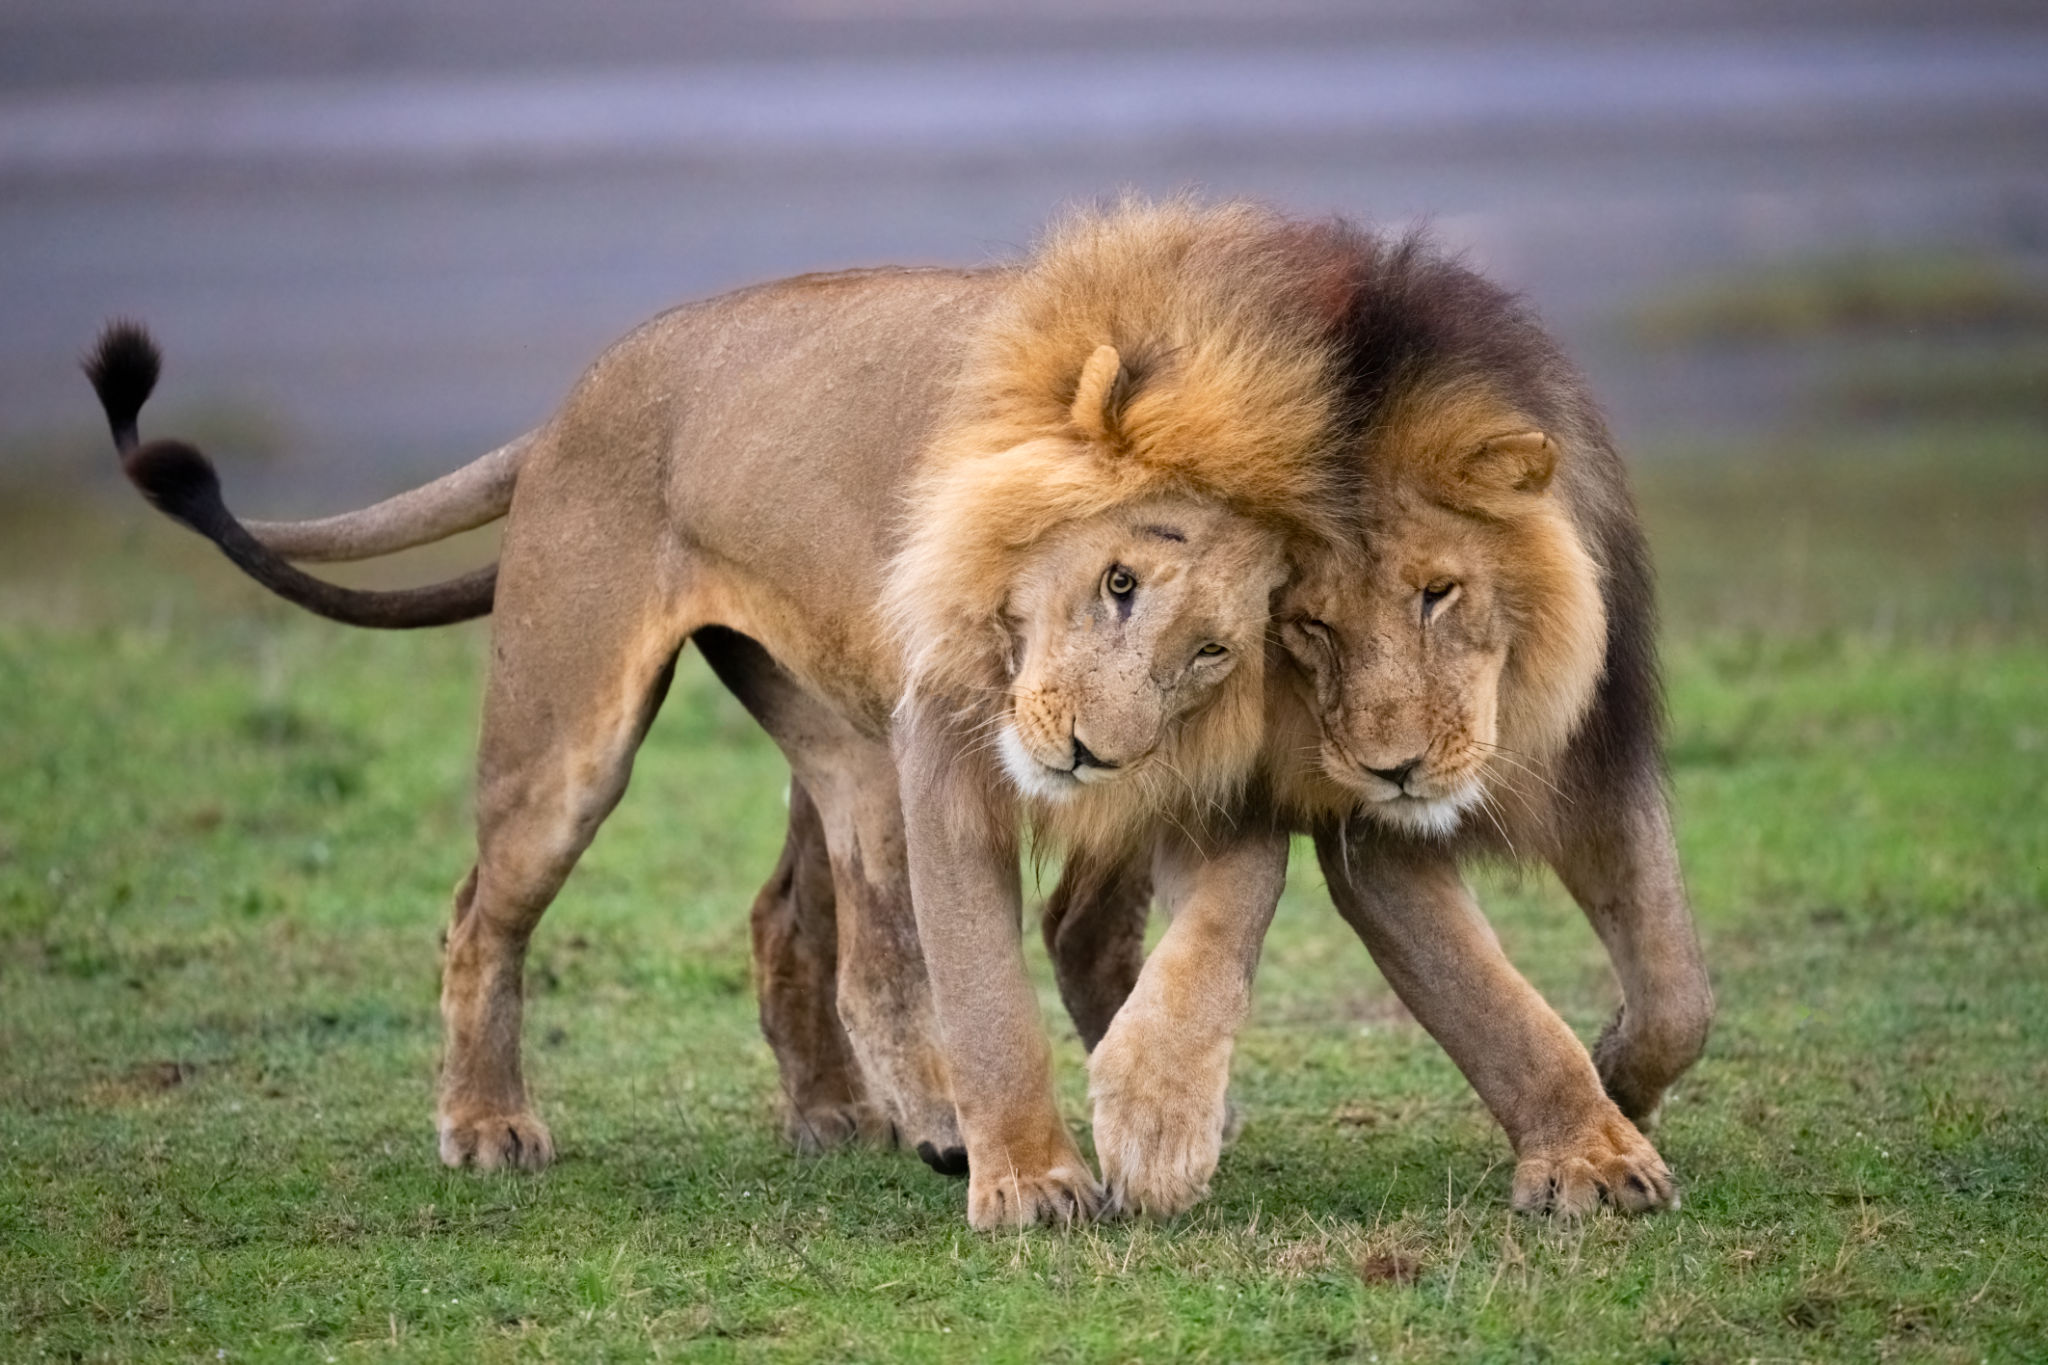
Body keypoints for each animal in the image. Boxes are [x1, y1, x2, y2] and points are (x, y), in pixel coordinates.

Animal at [85, 199, 1359, 1229]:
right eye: (1117, 583)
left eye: (1214, 649)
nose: (1096, 746)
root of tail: (574, 399)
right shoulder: (956, 736)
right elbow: (992, 979)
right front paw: (1034, 1181)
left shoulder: (1186, 769)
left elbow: (1161, 935)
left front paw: (1155, 1120)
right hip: (579, 738)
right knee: (486, 914)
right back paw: (492, 1125)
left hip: (833, 728)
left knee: (808, 919)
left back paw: (852, 1113)